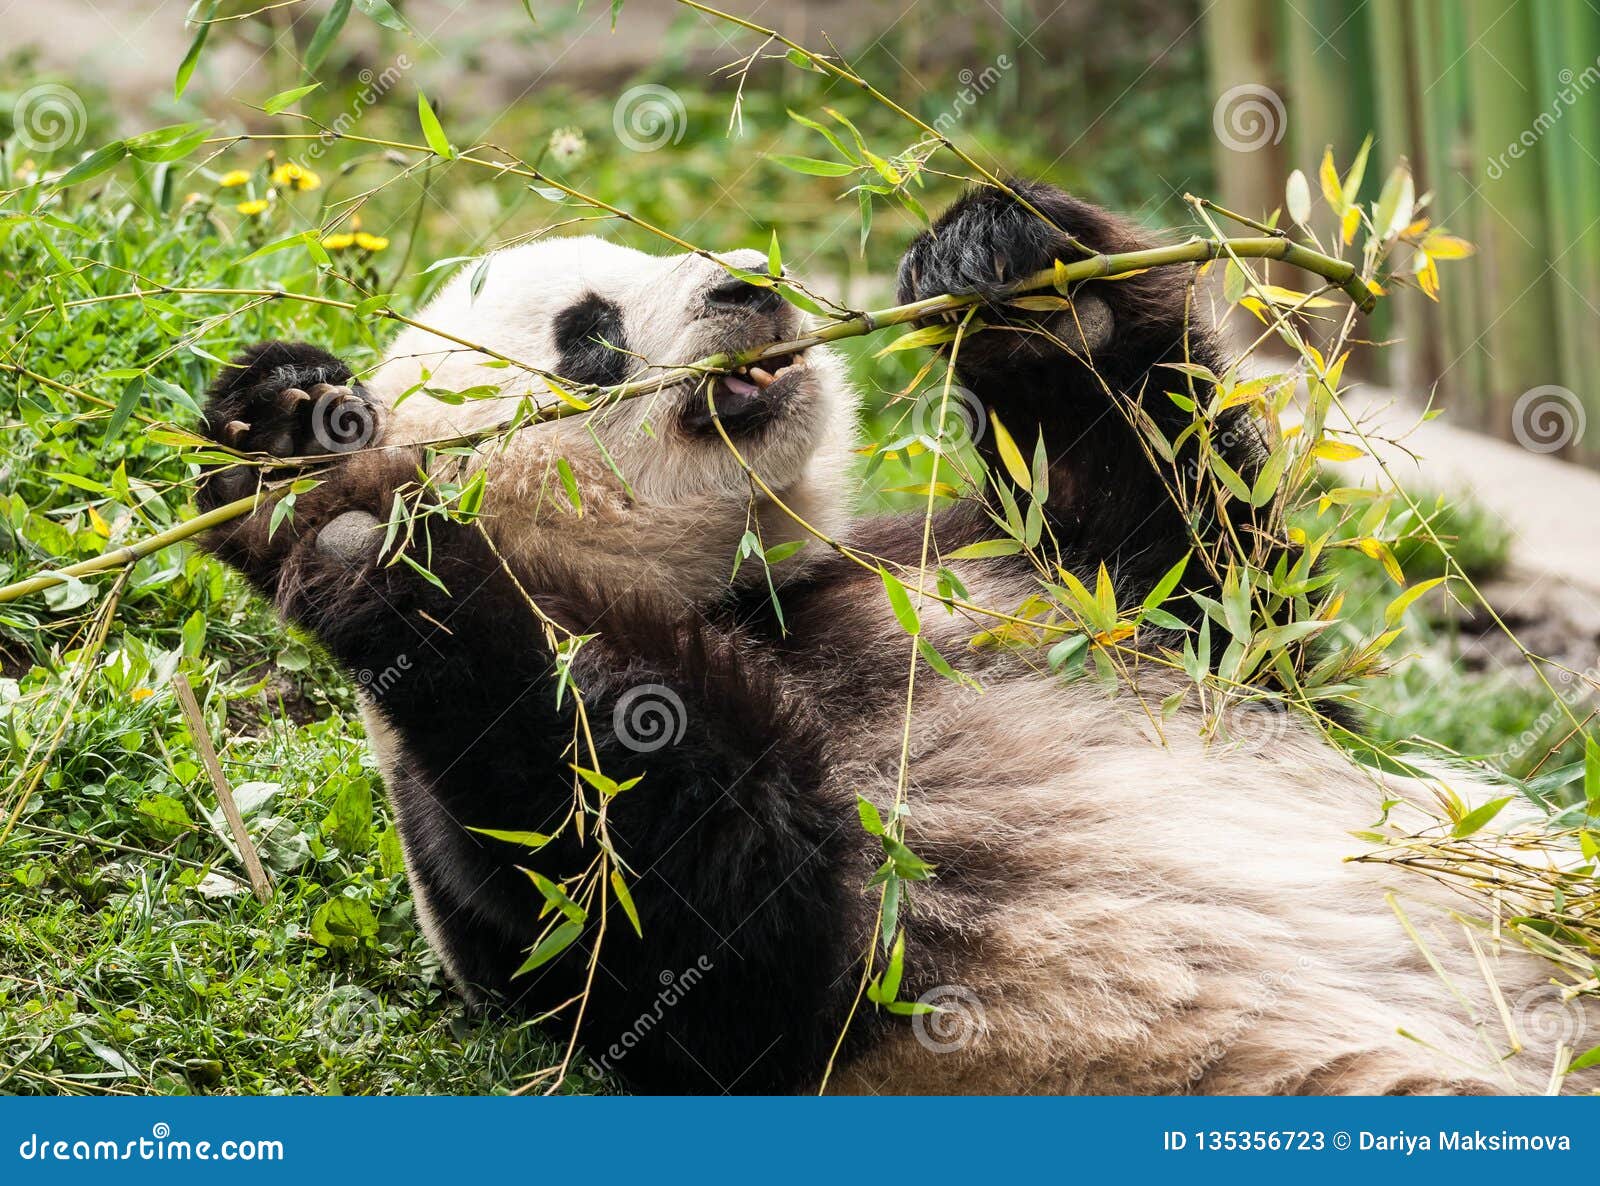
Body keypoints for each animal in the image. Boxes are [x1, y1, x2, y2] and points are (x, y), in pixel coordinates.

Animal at [196, 181, 1591, 1095]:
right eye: (590, 334)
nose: (747, 281)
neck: (743, 590)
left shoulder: (1006, 581)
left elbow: (1209, 571)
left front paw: (1008, 269)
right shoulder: (493, 880)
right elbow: (698, 931)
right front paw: (327, 495)